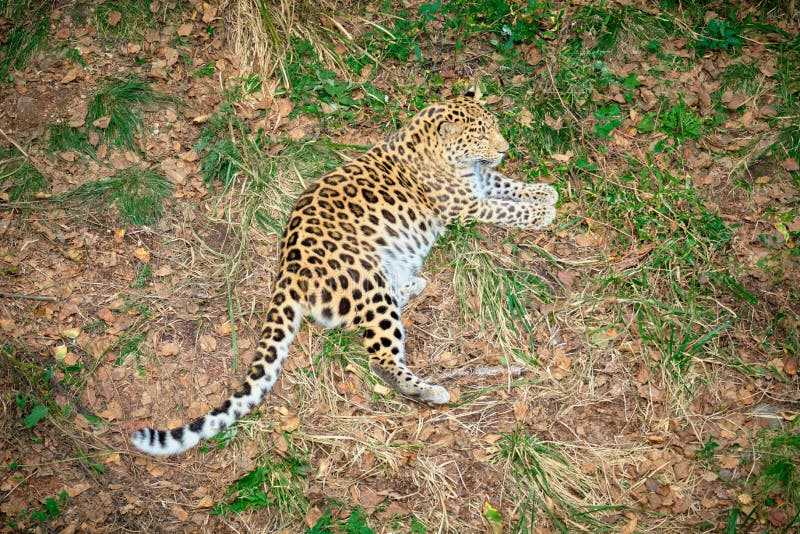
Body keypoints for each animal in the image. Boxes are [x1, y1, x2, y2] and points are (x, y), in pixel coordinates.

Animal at [131, 87, 558, 455]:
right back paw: (429, 391)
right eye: (480, 136)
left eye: (495, 126)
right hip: (369, 286)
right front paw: (542, 212)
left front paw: (543, 191)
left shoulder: (483, 182)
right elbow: (506, 209)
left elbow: (507, 184)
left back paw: (415, 283)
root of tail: (287, 269)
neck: (444, 154)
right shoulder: (465, 205)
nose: (504, 148)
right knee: (380, 357)